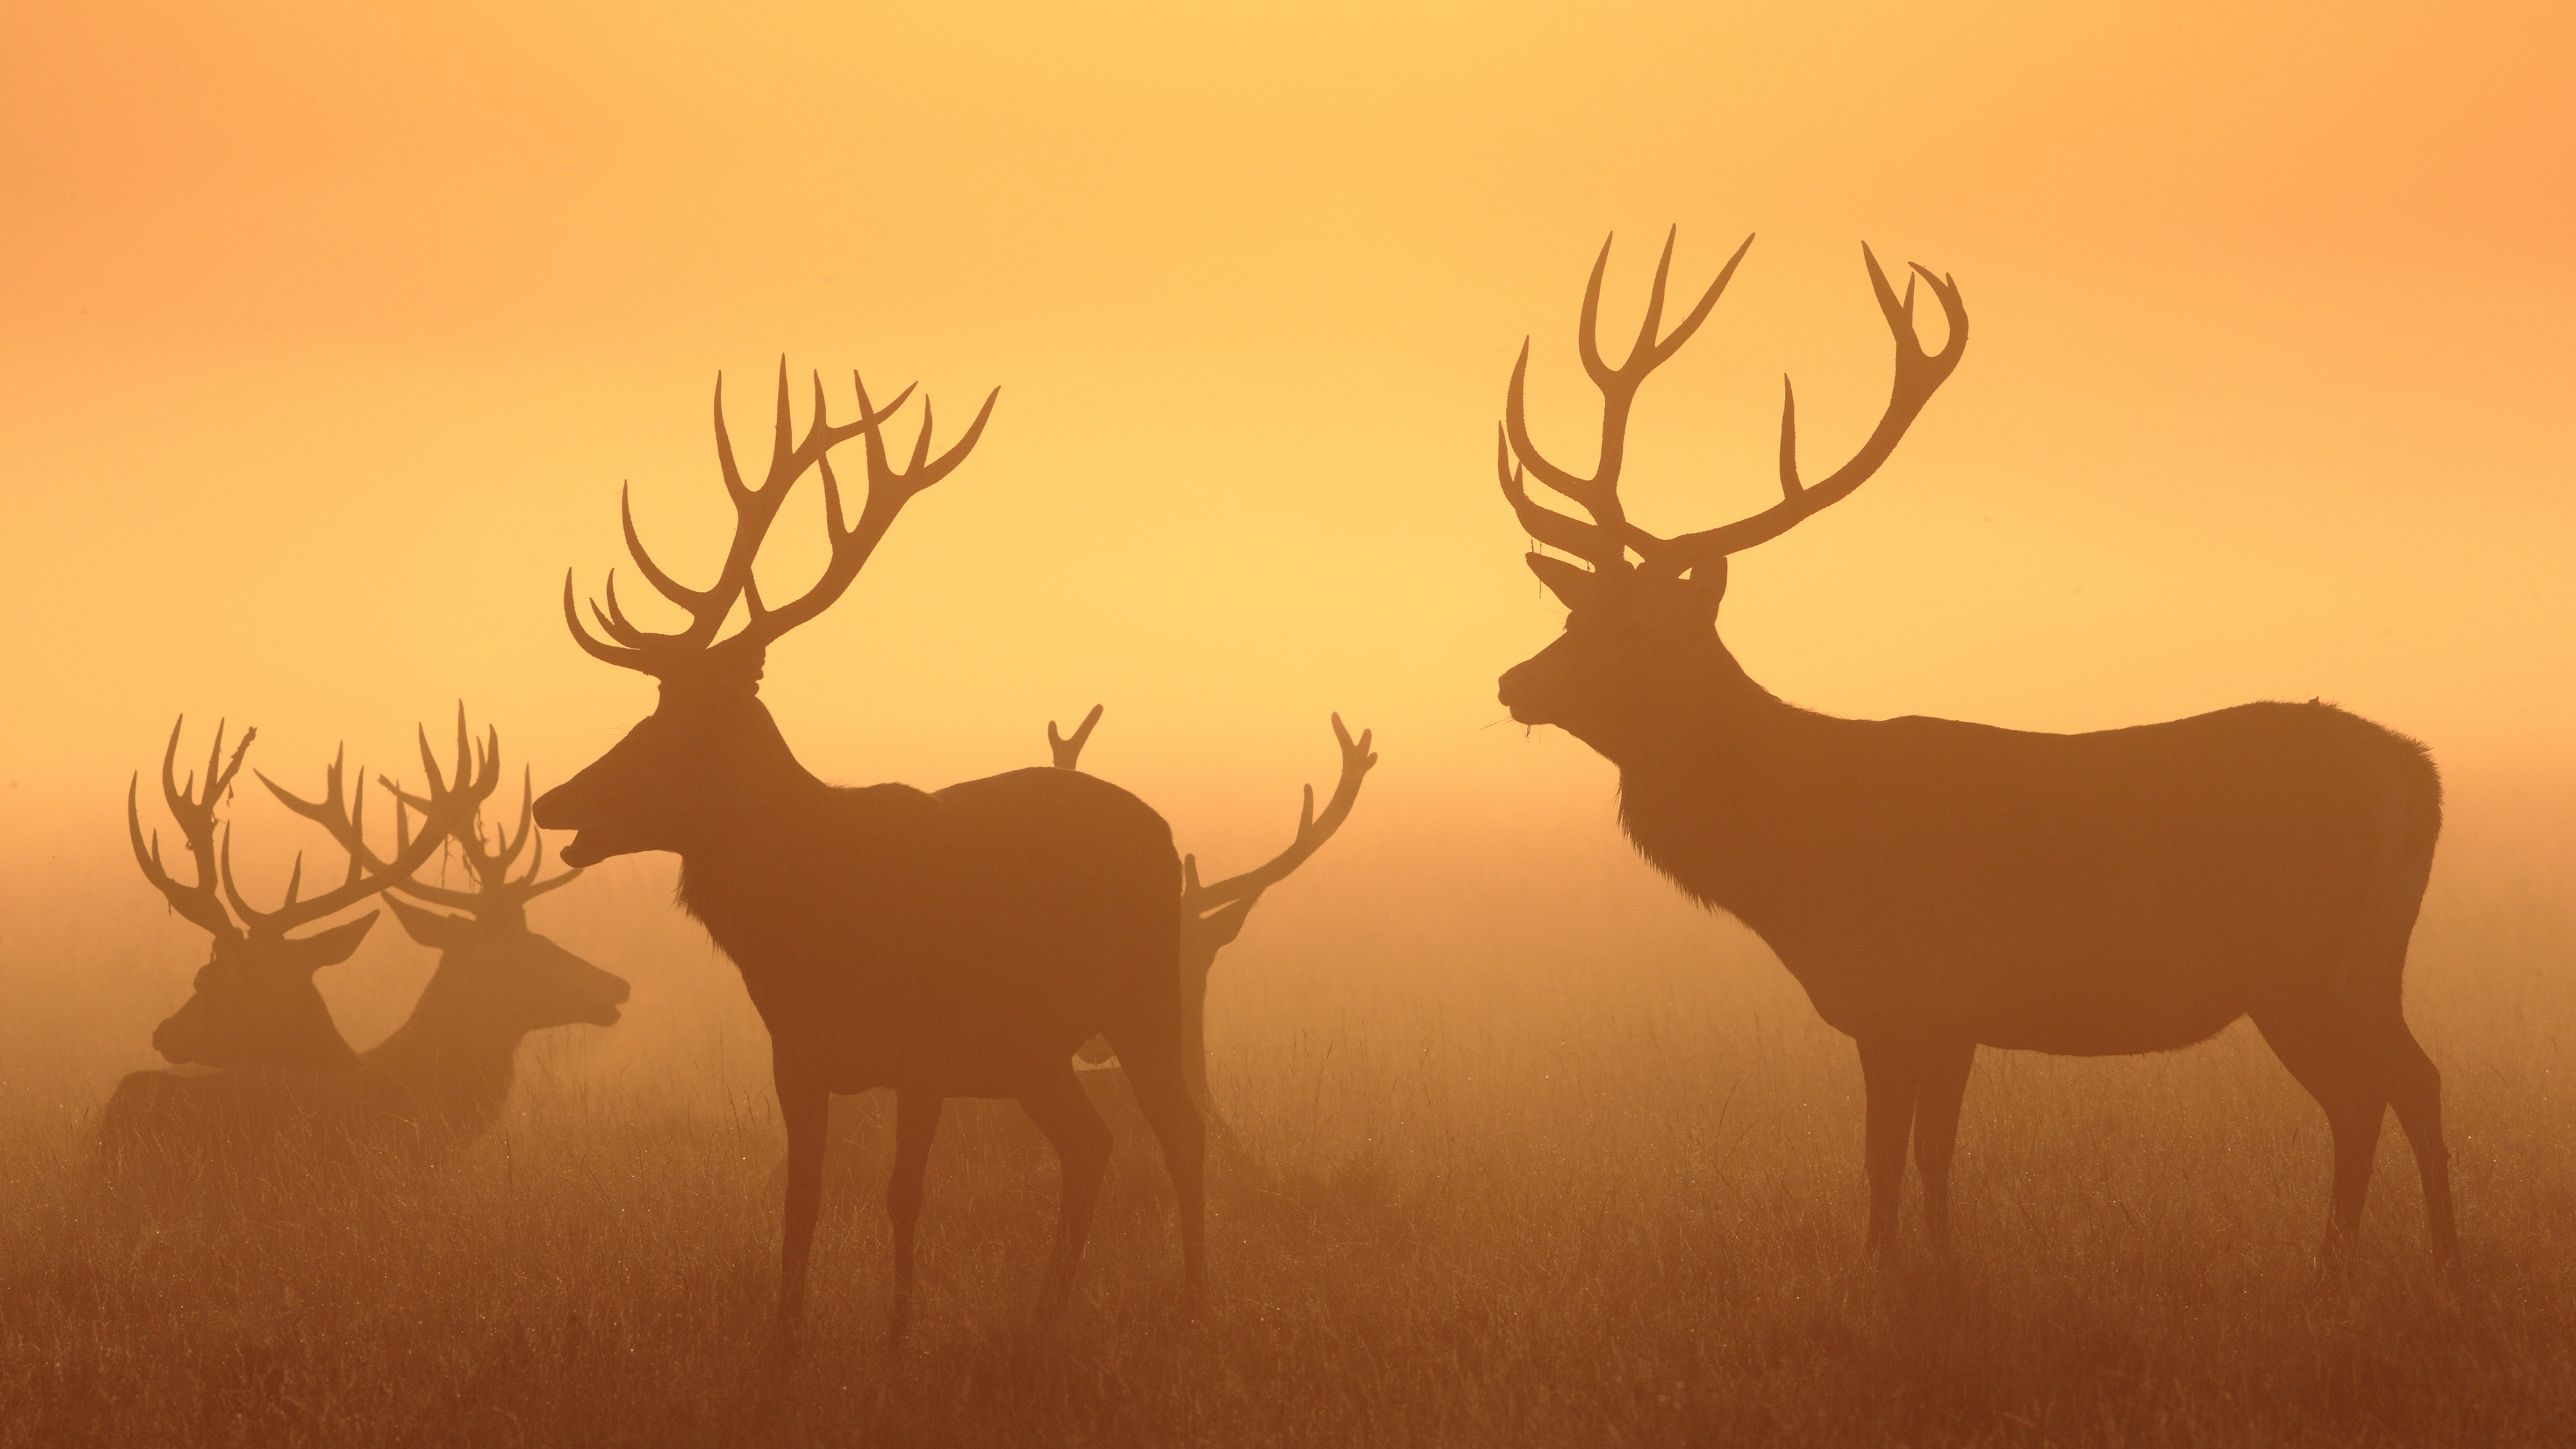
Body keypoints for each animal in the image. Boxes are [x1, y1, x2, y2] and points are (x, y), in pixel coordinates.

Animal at [532, 363, 1206, 1339]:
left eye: (677, 731)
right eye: (646, 713)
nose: (551, 802)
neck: (811, 930)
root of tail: (1163, 831)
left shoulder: (925, 1051)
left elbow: (903, 1195)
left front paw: (895, 1339)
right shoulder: (798, 1059)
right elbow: (801, 1201)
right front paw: (783, 1340)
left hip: (1146, 993)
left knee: (1180, 1134)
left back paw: (1197, 1305)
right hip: (1033, 1052)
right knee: (1092, 1143)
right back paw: (1043, 1320)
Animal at [1492, 228, 2452, 1265]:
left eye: (1636, 628)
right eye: (1575, 612)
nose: (1514, 683)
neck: (1794, 855)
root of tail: (2416, 774)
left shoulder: (1912, 993)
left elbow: (1892, 1159)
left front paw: (1893, 1271)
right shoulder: (1939, 1016)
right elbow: (1926, 1158)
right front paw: (1940, 1265)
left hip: (2300, 959)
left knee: (2373, 1090)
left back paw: (2364, 1259)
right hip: (2365, 962)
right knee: (2410, 1079)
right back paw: (2412, 1258)